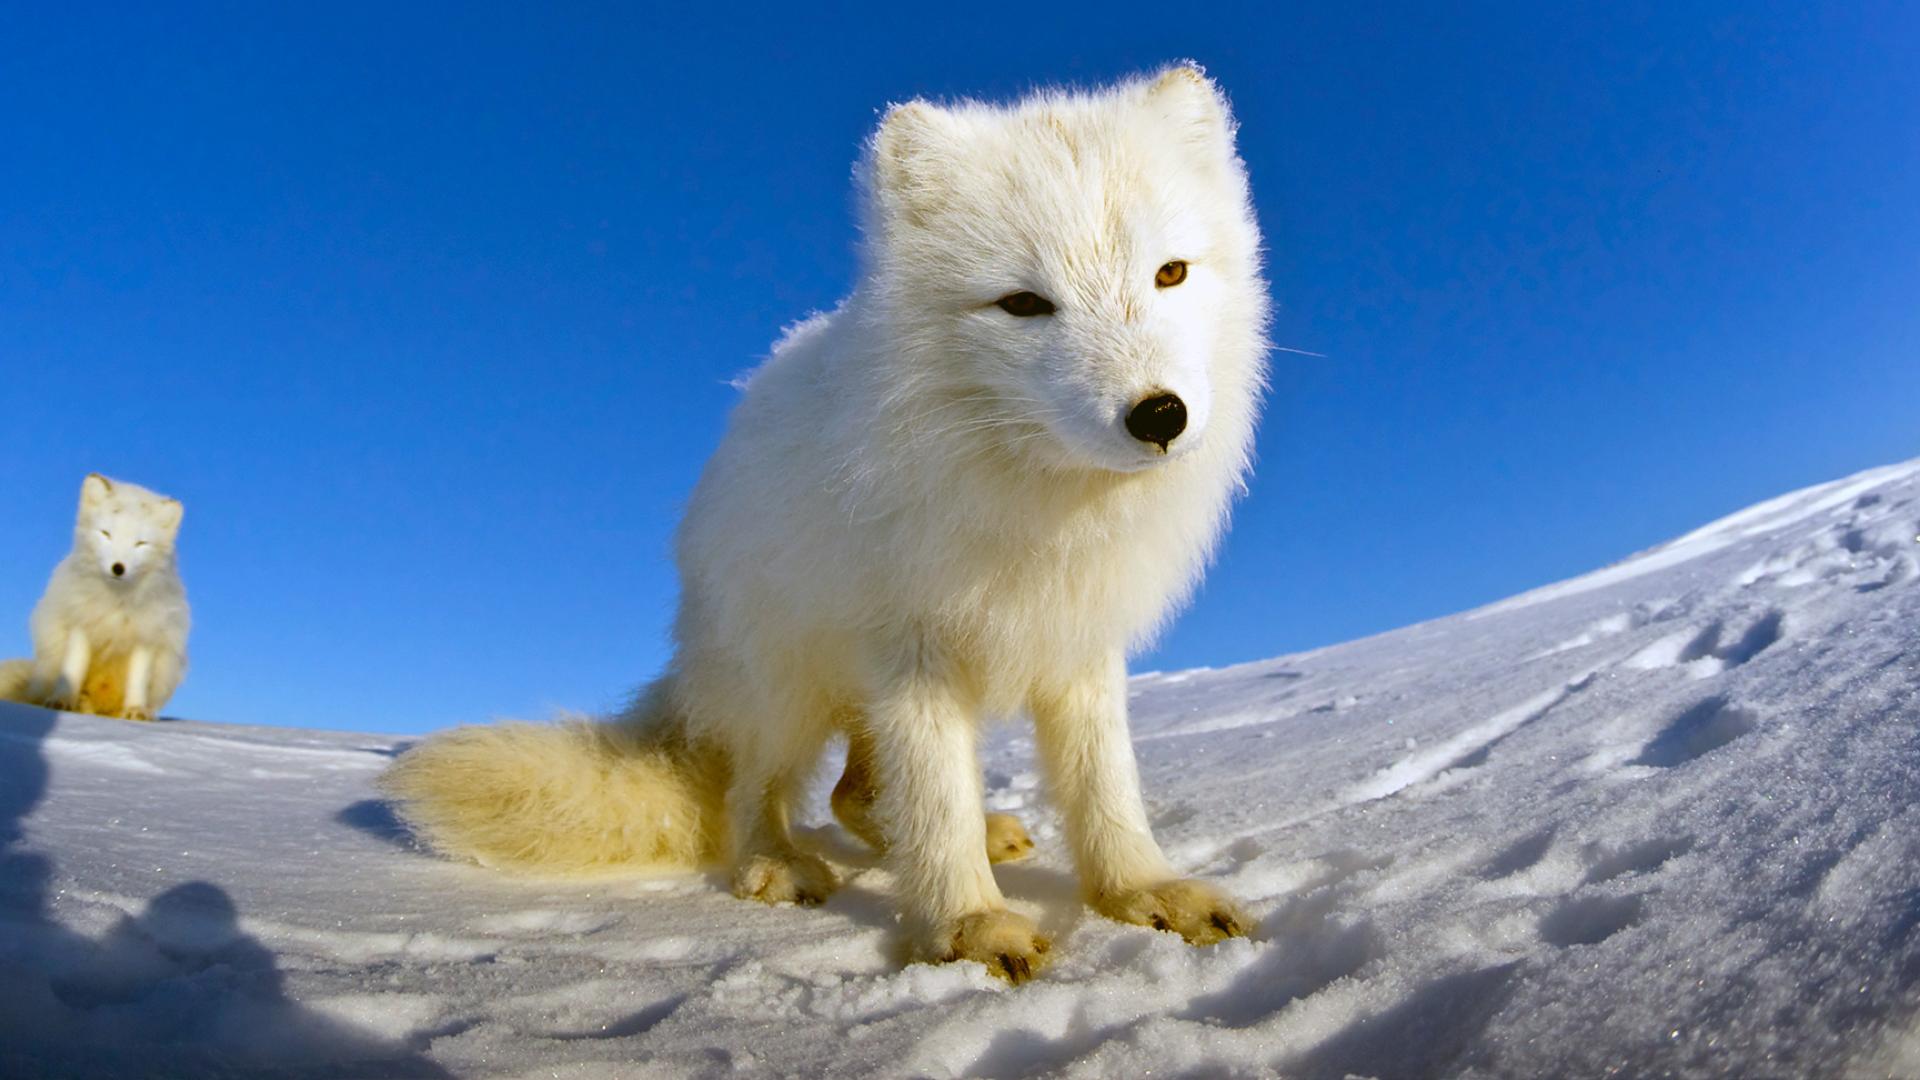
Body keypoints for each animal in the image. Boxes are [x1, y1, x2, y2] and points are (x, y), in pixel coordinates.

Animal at [0, 474, 191, 721]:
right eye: (106, 534)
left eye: (140, 543)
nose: (118, 568)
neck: (116, 604)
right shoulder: (80, 624)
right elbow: (74, 667)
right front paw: (63, 702)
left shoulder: (146, 636)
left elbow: (138, 680)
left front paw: (135, 711)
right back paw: (79, 705)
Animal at [383, 63, 1270, 982]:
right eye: (1023, 304)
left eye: (1171, 273)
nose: (1159, 415)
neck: (1041, 502)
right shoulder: (914, 648)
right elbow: (938, 800)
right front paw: (968, 927)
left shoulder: (1076, 637)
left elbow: (1106, 786)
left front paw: (1142, 893)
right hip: (784, 682)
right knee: (753, 785)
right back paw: (774, 863)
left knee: (854, 794)